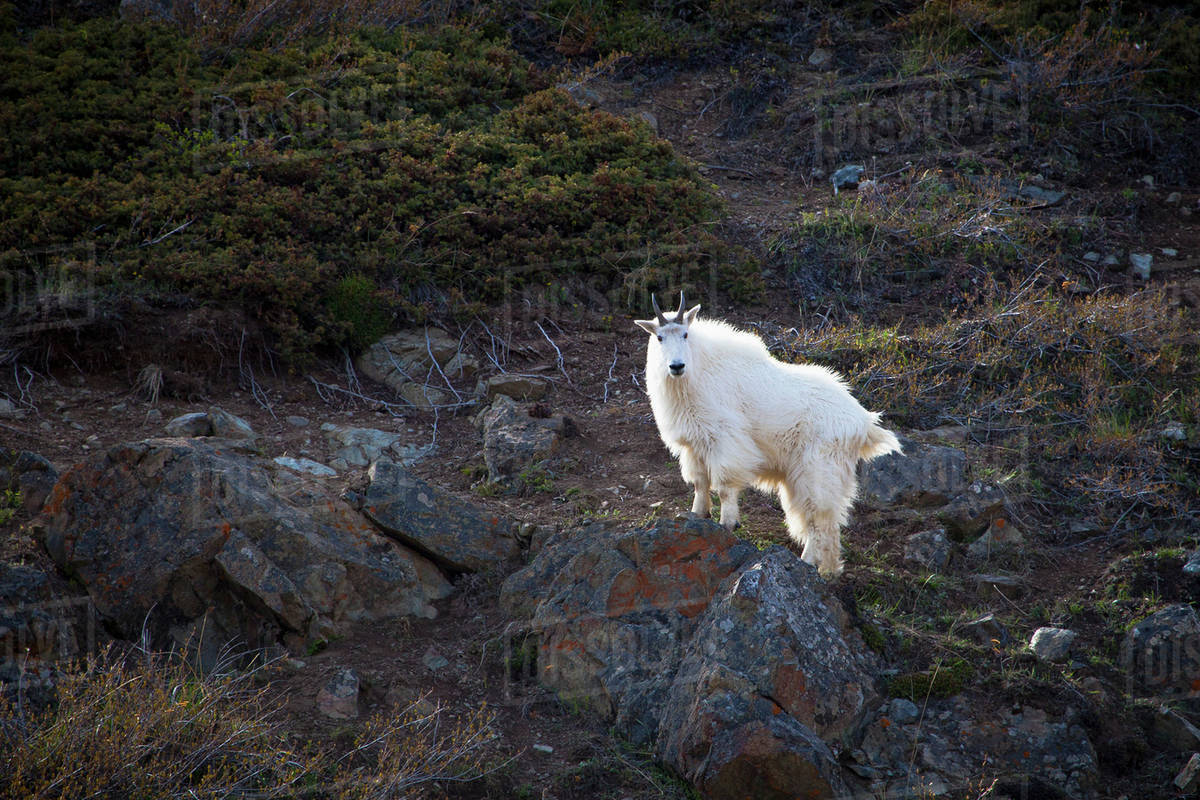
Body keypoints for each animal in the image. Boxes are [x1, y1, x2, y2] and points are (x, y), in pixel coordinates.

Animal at [635, 293, 901, 577]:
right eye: (659, 337)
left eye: (685, 334)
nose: (676, 366)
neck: (697, 372)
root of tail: (862, 422)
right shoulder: (694, 444)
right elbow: (699, 482)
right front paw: (696, 515)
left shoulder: (725, 440)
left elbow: (724, 487)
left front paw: (728, 523)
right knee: (824, 521)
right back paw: (828, 570)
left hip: (818, 470)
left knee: (818, 518)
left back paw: (807, 561)